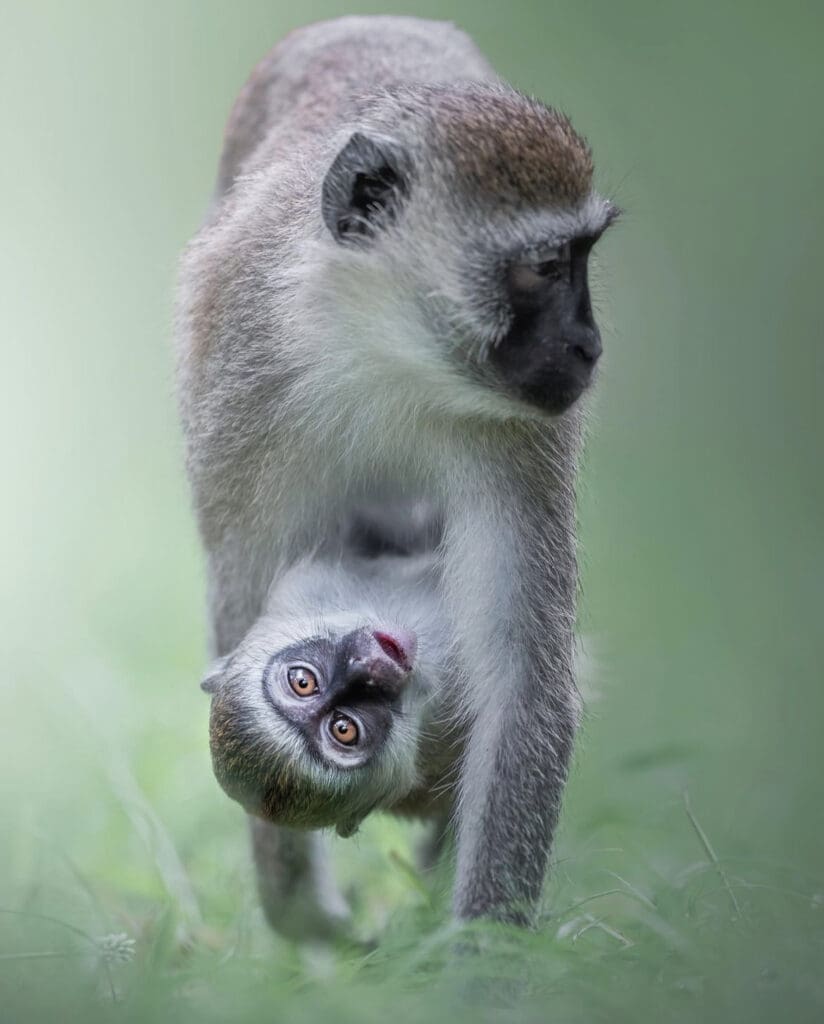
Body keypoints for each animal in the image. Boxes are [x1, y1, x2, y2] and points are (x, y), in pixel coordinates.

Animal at [176, 15, 617, 930]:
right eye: (544, 268)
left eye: (582, 258)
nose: (589, 346)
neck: (380, 348)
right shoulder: (236, 371)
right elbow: (246, 601)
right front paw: (296, 901)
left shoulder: (522, 429)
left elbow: (521, 678)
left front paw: (480, 954)